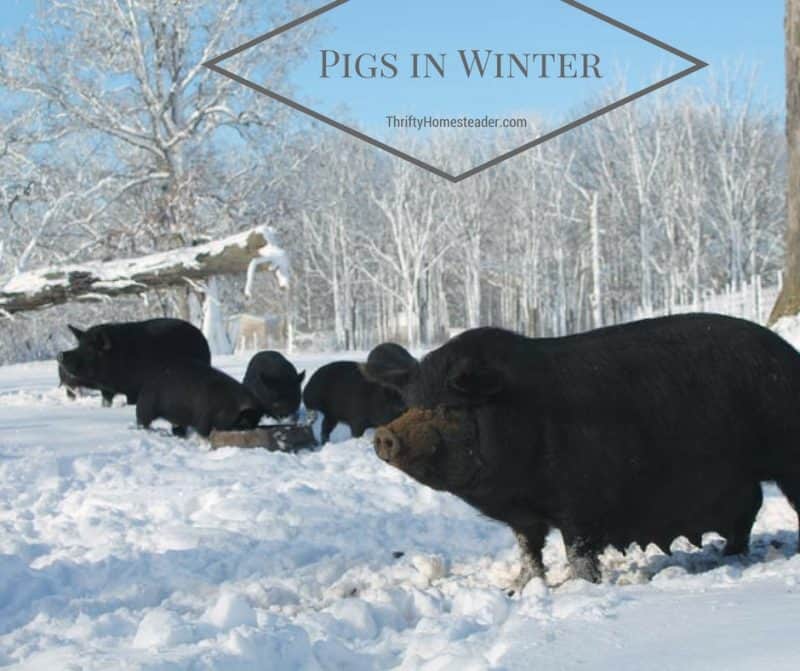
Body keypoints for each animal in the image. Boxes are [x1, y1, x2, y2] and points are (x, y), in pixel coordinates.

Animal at [58, 319, 211, 405]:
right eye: (79, 345)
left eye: (90, 349)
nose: (60, 354)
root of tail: (203, 339)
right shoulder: (106, 391)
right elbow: (106, 402)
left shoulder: (134, 390)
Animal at [365, 315, 800, 589]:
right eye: (410, 403)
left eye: (449, 407)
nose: (384, 435)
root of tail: (790, 356)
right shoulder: (524, 516)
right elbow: (529, 549)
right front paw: (521, 588)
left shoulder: (583, 504)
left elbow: (578, 551)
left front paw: (575, 587)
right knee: (748, 509)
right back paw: (729, 556)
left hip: (787, 458)